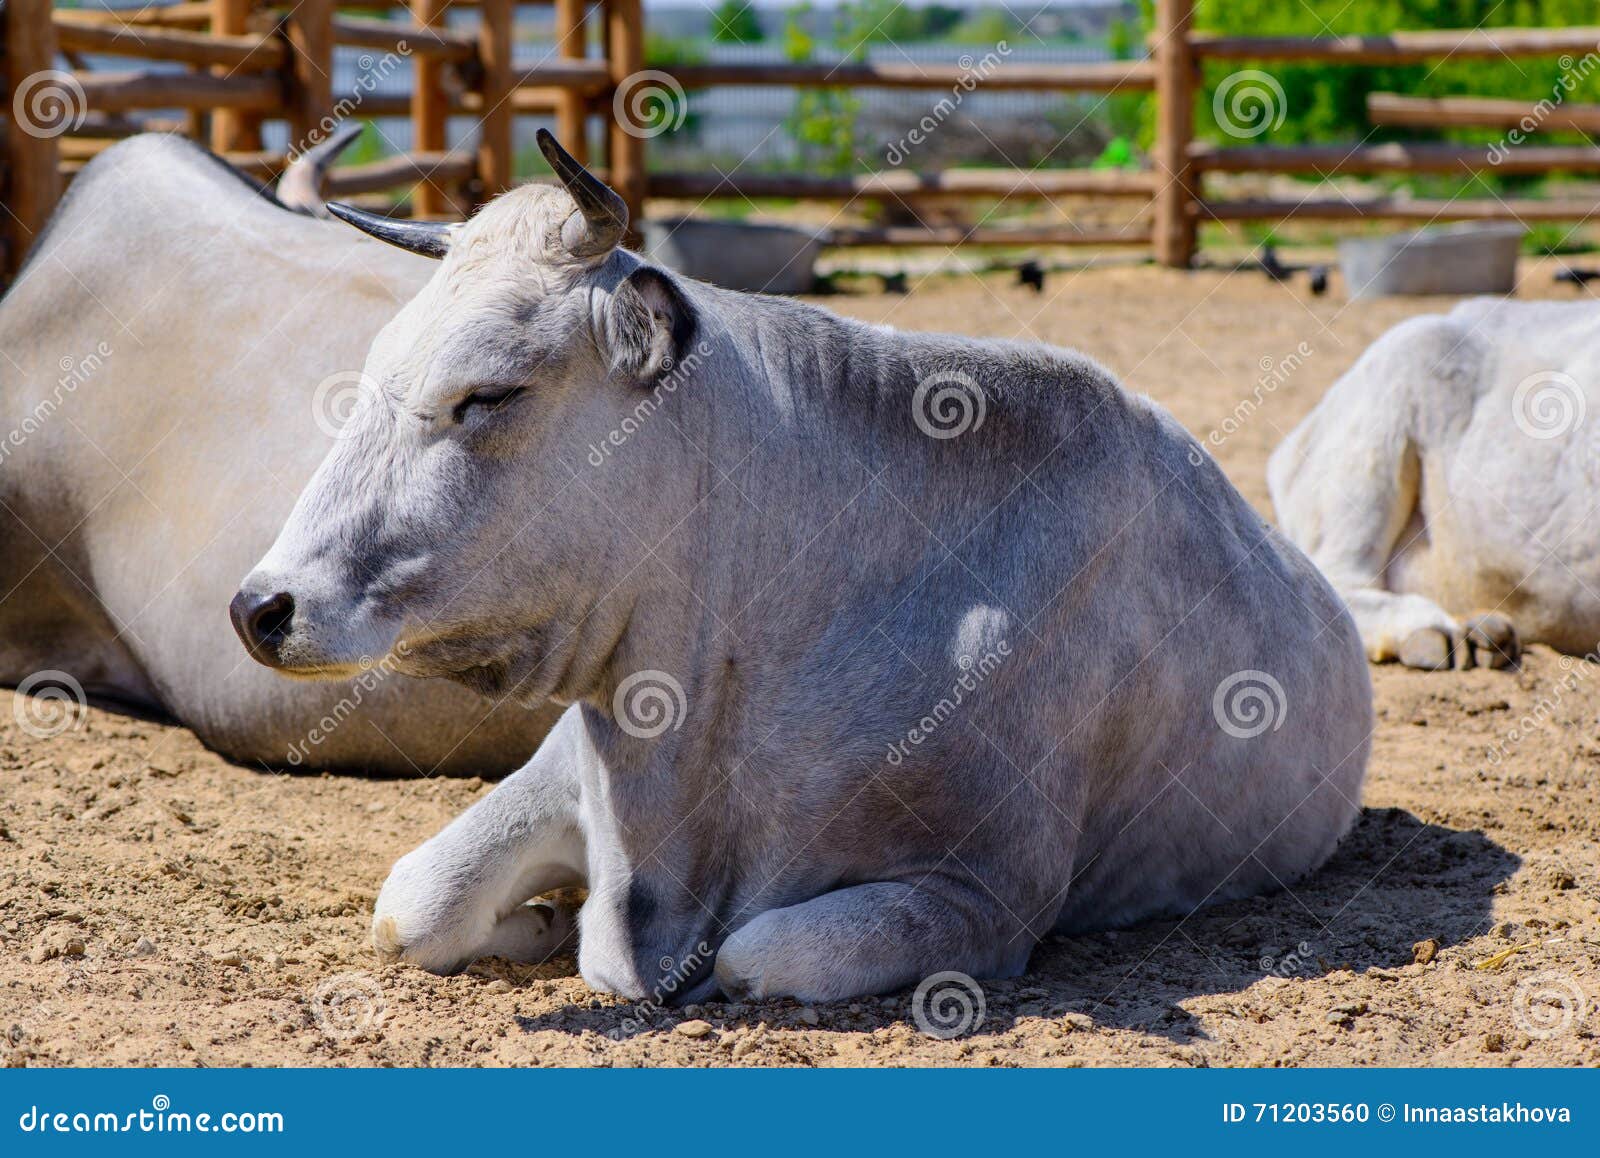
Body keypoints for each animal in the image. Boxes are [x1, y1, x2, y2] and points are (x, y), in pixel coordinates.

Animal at [232, 131, 1373, 1003]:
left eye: (489, 394)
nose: (259, 606)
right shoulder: (566, 765)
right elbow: (413, 904)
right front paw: (540, 921)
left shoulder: (986, 891)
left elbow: (755, 953)